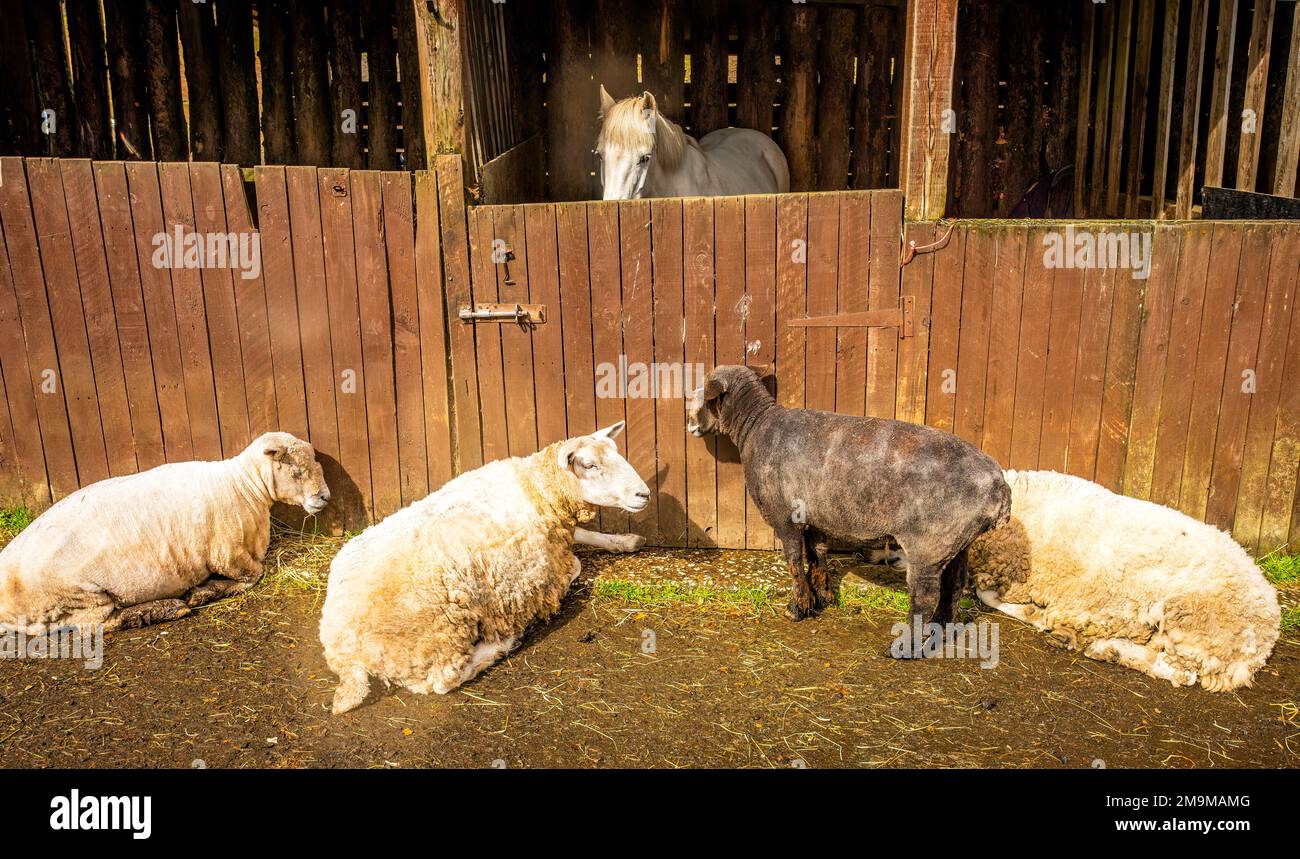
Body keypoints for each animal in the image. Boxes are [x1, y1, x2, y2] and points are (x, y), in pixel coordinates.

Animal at [0, 432, 329, 634]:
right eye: (297, 472)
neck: (244, 486)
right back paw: (162, 609)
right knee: (99, 624)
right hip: (79, 596)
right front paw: (204, 592)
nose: (325, 497)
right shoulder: (227, 553)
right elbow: (253, 576)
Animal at [319, 421, 650, 714]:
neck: (537, 488)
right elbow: (575, 564)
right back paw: (503, 644)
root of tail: (345, 657)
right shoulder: (544, 562)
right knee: (442, 682)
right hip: (440, 636)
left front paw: (624, 541)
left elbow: (583, 534)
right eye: (589, 465)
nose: (644, 494)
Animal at [687, 365, 1011, 628]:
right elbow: (818, 555)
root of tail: (1000, 488)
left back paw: (906, 645)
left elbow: (795, 561)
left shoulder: (784, 516)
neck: (755, 425)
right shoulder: (816, 515)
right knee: (954, 586)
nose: (688, 423)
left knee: (926, 594)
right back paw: (940, 629)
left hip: (930, 542)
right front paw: (823, 598)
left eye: (705, 398)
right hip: (957, 541)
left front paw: (797, 608)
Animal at [968, 470, 1280, 691]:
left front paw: (1037, 615)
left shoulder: (1012, 573)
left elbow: (989, 596)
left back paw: (1108, 649)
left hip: (1193, 621)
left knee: (1182, 673)